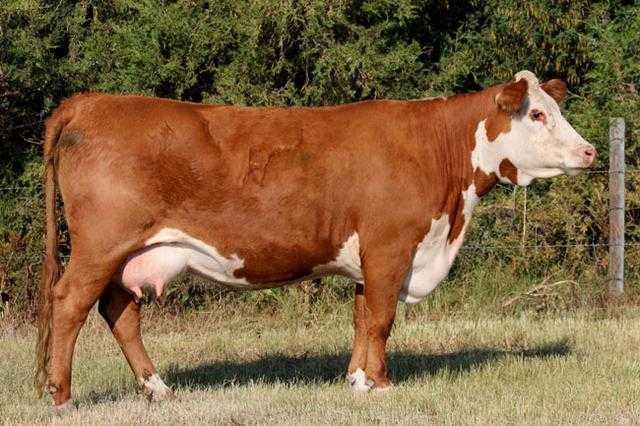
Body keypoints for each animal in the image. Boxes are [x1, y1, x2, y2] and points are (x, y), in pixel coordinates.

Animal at [35, 70, 596, 412]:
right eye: (538, 114)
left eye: (553, 108)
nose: (590, 151)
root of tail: (92, 102)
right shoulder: (390, 246)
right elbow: (383, 318)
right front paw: (382, 385)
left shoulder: (368, 257)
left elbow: (363, 316)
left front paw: (357, 381)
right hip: (100, 245)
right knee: (70, 303)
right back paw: (61, 397)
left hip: (128, 254)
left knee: (118, 311)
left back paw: (158, 389)